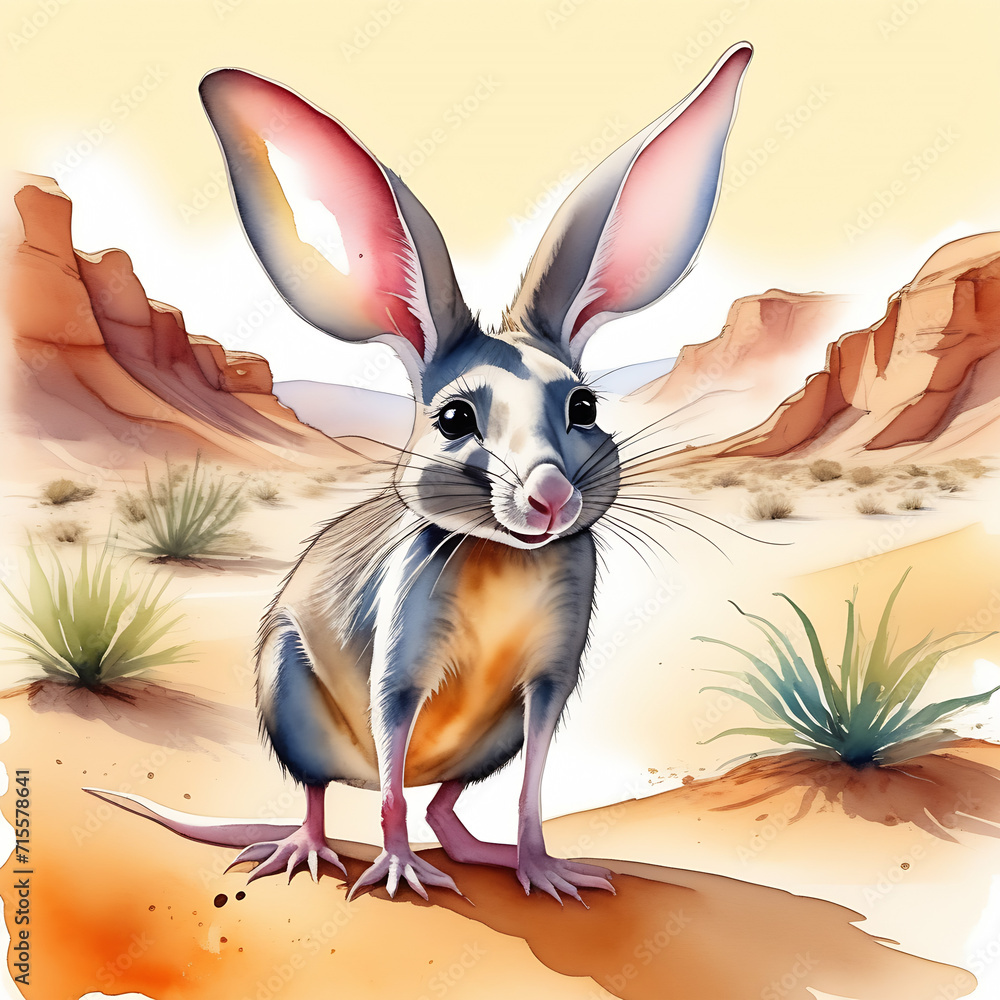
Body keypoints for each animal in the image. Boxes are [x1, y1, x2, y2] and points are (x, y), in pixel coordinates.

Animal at [88, 42, 752, 905]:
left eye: (583, 406)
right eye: (454, 419)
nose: (550, 498)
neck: (505, 557)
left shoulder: (551, 677)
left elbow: (535, 787)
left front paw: (547, 871)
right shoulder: (398, 658)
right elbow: (393, 756)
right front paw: (398, 873)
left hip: (487, 741)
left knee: (443, 804)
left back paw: (488, 856)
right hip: (288, 691)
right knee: (338, 789)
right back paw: (309, 850)